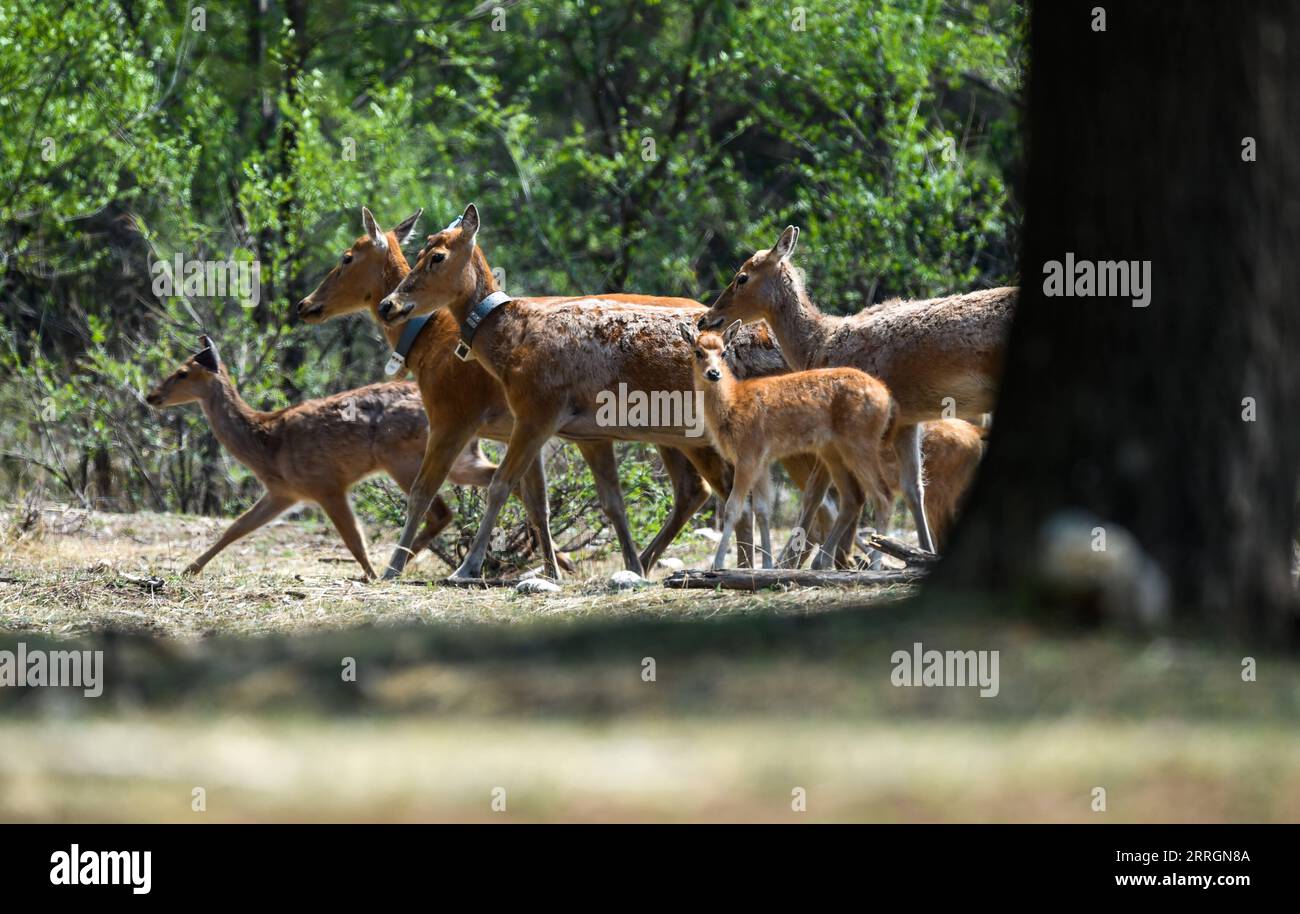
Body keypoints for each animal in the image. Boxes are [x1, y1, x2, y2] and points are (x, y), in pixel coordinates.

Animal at [145, 336, 497, 578]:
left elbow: (354, 538)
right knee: (491, 479)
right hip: (461, 458)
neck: (266, 444)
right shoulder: (284, 493)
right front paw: (188, 570)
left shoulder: (326, 484)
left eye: (182, 372)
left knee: (438, 510)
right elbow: (236, 527)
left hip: (402, 457)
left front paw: (369, 575)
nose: (151, 396)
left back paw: (395, 566)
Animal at [297, 207, 813, 580]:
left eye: (346, 257)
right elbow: (558, 502)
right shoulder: (570, 431)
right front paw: (565, 569)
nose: (390, 304)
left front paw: (423, 568)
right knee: (711, 491)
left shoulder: (470, 414)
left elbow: (455, 489)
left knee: (742, 491)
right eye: (420, 250)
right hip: (680, 438)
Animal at [680, 320, 896, 570]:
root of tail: (886, 398)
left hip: (861, 441)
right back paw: (824, 562)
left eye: (724, 352)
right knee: (853, 498)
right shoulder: (761, 459)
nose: (714, 373)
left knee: (883, 495)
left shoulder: (748, 454)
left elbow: (733, 507)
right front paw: (766, 564)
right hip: (833, 450)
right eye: (698, 352)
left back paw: (876, 565)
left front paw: (718, 563)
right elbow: (763, 509)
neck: (732, 405)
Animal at [701, 225, 1016, 554]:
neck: (817, 345)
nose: (706, 319)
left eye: (742, 277)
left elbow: (815, 494)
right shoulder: (907, 420)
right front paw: (920, 552)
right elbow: (913, 488)